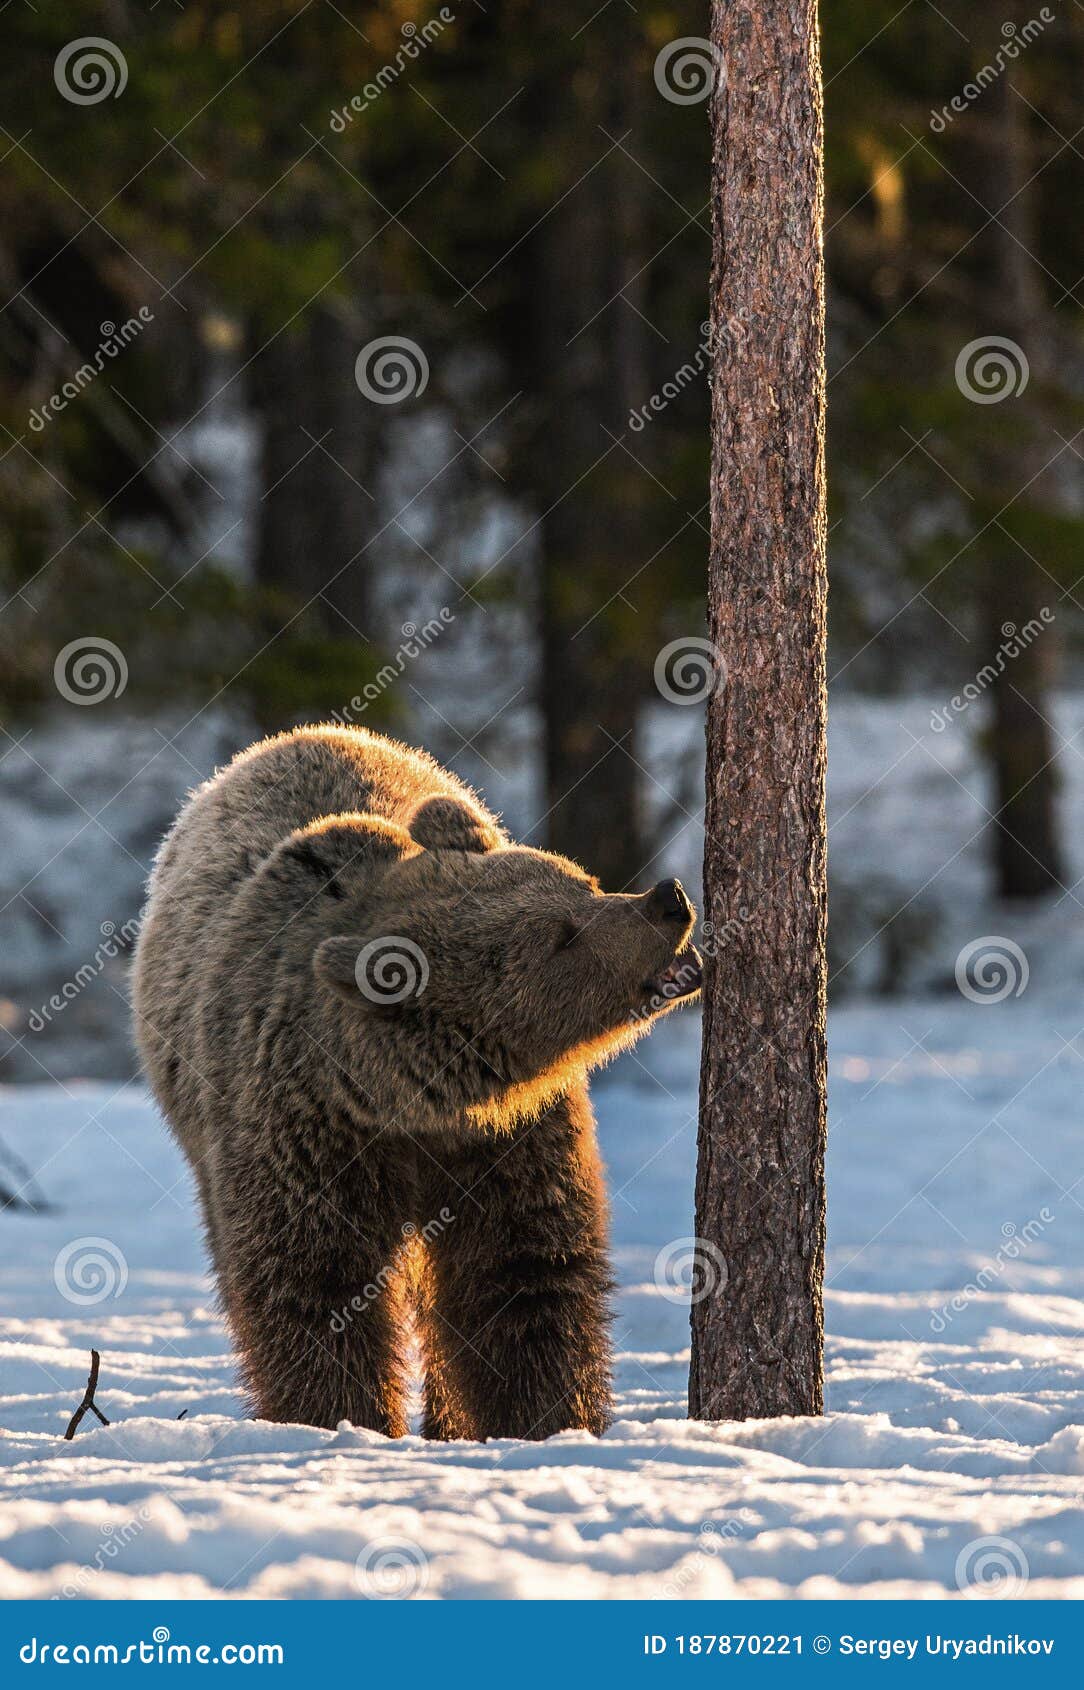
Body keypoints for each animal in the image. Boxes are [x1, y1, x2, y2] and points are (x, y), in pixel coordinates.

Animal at [132, 724, 700, 1439]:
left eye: (581, 882)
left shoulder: (508, 1136)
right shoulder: (302, 1131)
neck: (410, 1103)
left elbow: (522, 1271)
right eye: (561, 937)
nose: (667, 899)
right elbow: (313, 1282)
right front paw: (340, 1418)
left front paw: (545, 1418)